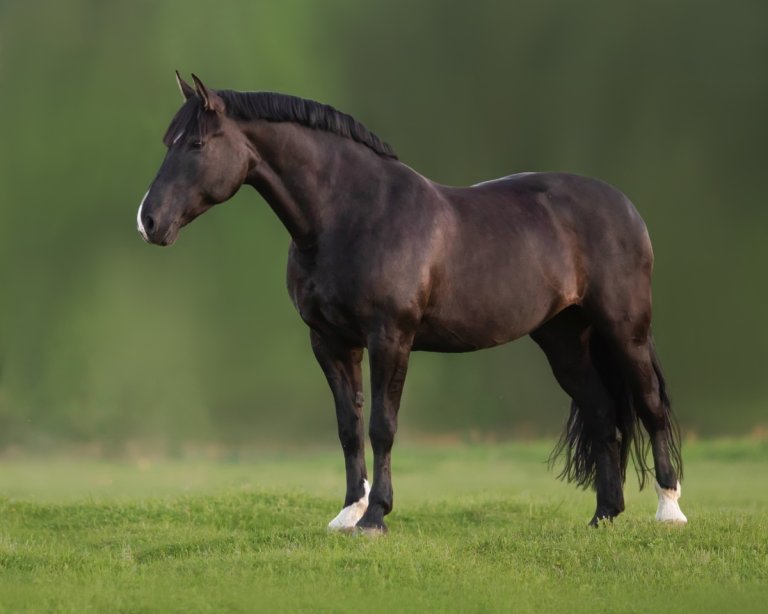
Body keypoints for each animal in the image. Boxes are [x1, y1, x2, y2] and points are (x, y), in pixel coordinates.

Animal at [137, 73, 687, 532]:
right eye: (168, 142)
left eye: (197, 143)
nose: (148, 221)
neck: (352, 215)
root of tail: (623, 206)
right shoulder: (330, 342)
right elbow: (348, 427)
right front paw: (347, 513)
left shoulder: (390, 338)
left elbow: (382, 426)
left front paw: (375, 516)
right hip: (564, 340)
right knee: (601, 413)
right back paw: (604, 516)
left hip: (625, 331)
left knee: (650, 406)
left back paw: (669, 510)